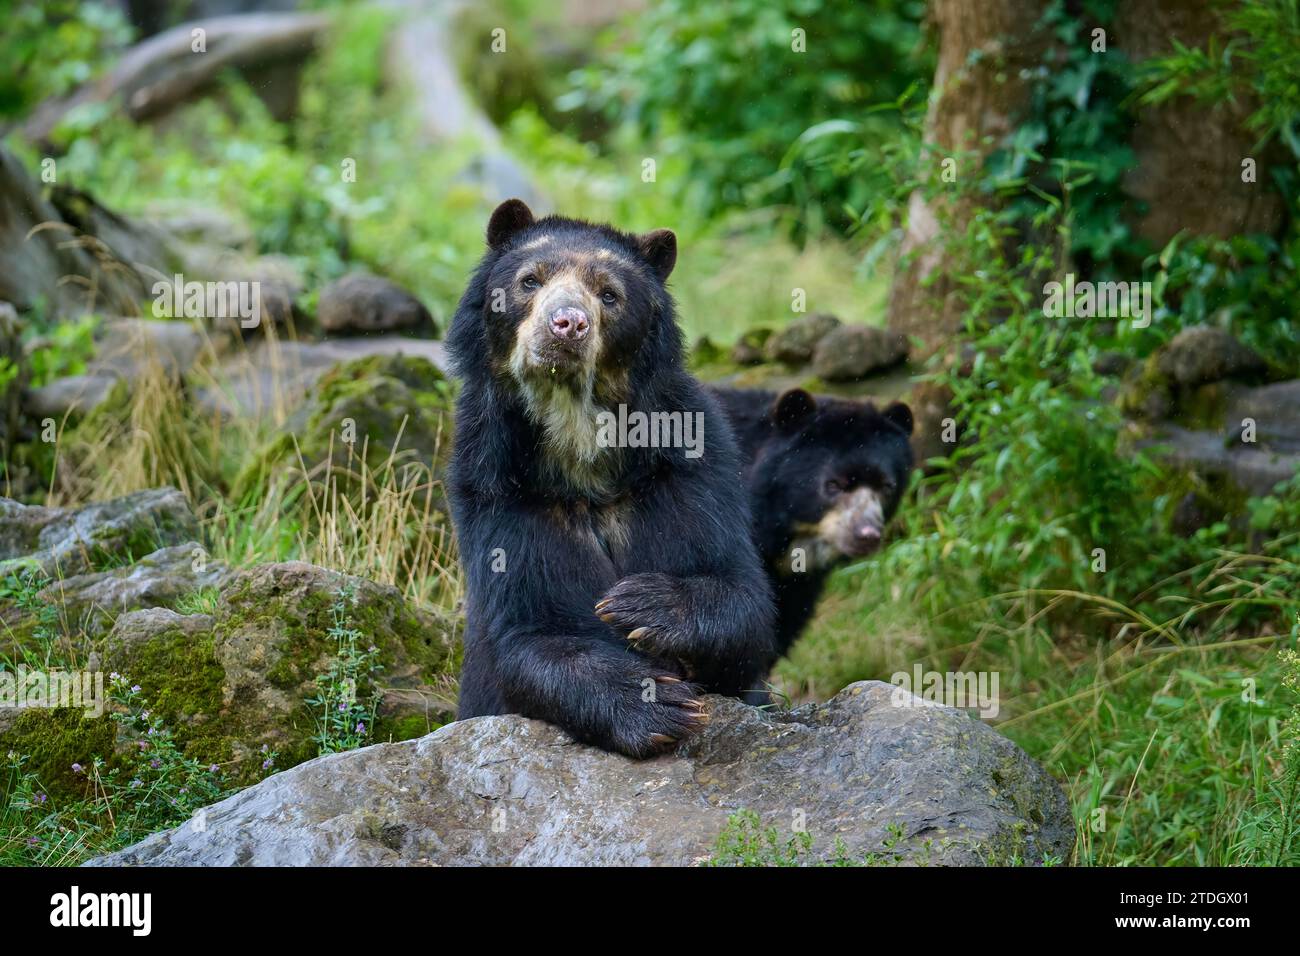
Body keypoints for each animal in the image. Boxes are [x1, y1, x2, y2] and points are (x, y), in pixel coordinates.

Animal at [446, 199, 777, 758]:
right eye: (530, 281)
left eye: (609, 295)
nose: (567, 325)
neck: (580, 445)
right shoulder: (499, 488)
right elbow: (528, 633)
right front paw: (656, 704)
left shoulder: (689, 468)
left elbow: (744, 599)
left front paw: (638, 604)